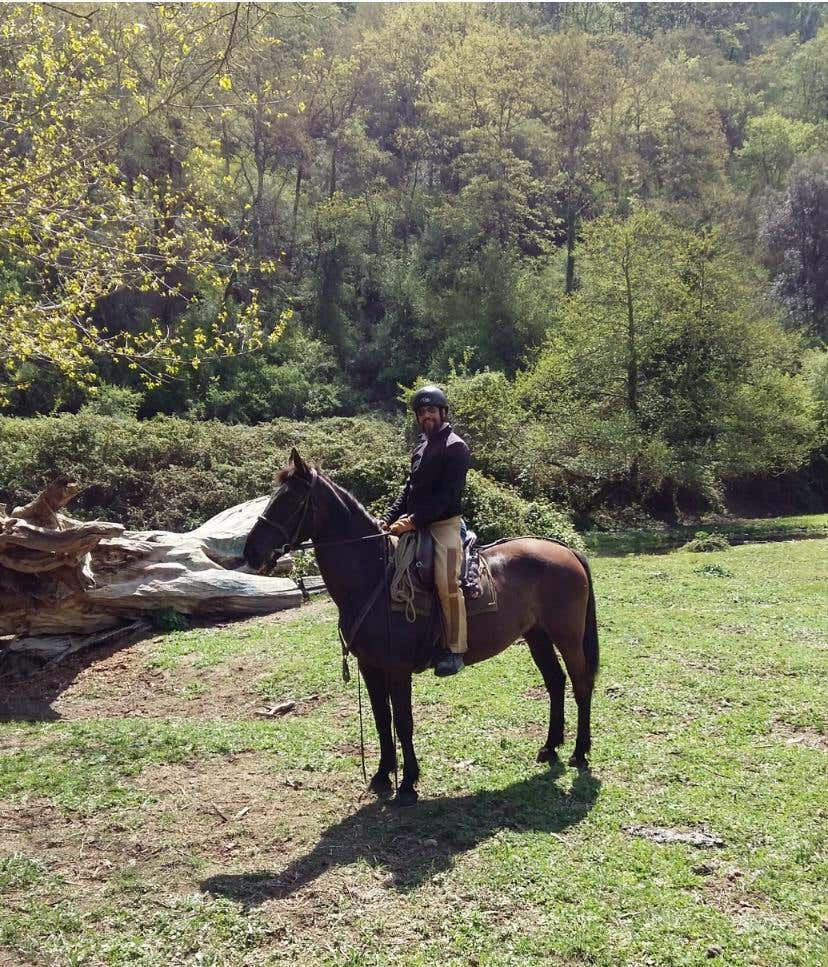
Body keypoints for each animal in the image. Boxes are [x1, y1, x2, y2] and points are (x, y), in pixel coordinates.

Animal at [244, 448, 599, 807]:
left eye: (290, 500)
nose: (251, 551)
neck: (375, 578)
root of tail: (565, 550)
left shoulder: (397, 669)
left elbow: (403, 722)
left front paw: (407, 783)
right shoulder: (370, 666)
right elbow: (382, 719)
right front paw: (382, 775)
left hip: (567, 637)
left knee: (581, 683)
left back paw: (580, 752)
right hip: (537, 635)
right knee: (555, 682)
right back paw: (550, 747)